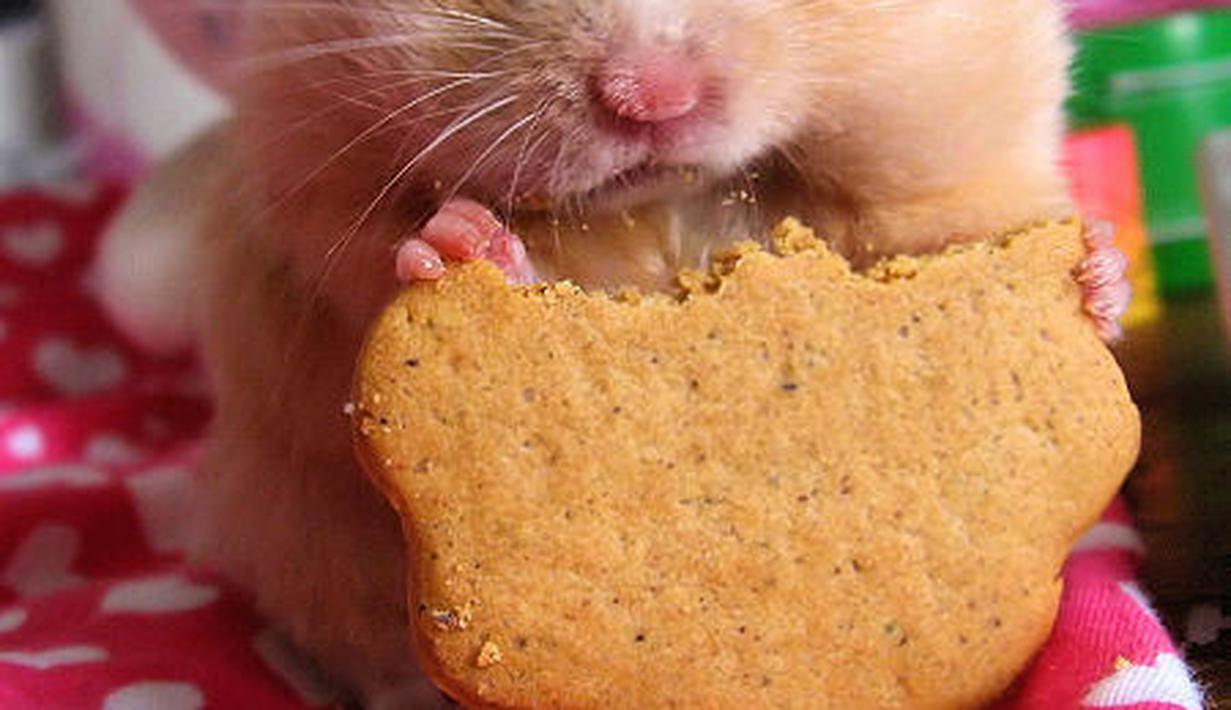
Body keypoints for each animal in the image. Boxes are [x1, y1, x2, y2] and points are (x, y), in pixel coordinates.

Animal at [100, 0, 1128, 706]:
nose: (652, 99)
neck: (672, 191)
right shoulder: (306, 186)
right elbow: (382, 257)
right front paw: (461, 241)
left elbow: (963, 227)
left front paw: (1097, 273)